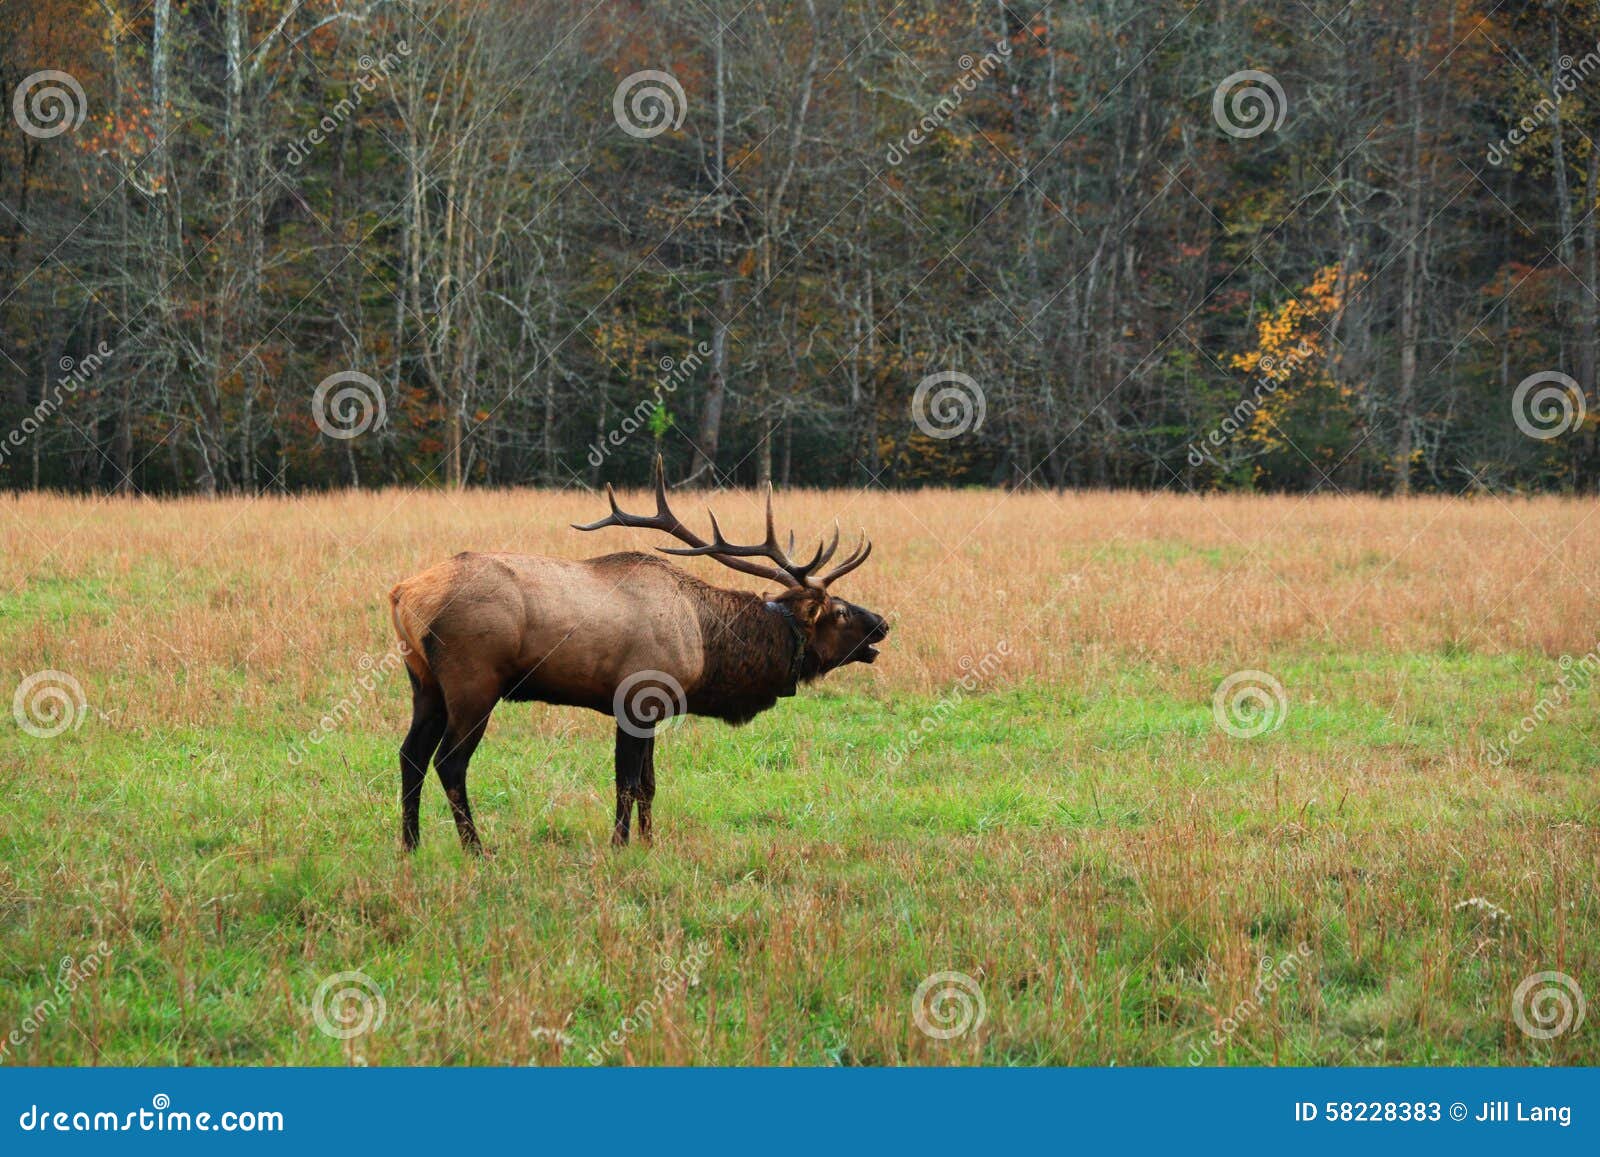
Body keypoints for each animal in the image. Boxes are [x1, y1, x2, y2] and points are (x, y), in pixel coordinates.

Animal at [388, 457, 888, 853]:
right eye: (840, 611)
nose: (883, 623)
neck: (705, 643)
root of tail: (403, 595)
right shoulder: (636, 698)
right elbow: (626, 781)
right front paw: (619, 844)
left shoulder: (654, 709)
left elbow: (649, 783)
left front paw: (649, 842)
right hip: (473, 682)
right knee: (449, 762)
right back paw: (476, 849)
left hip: (424, 683)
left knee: (410, 754)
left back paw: (411, 845)